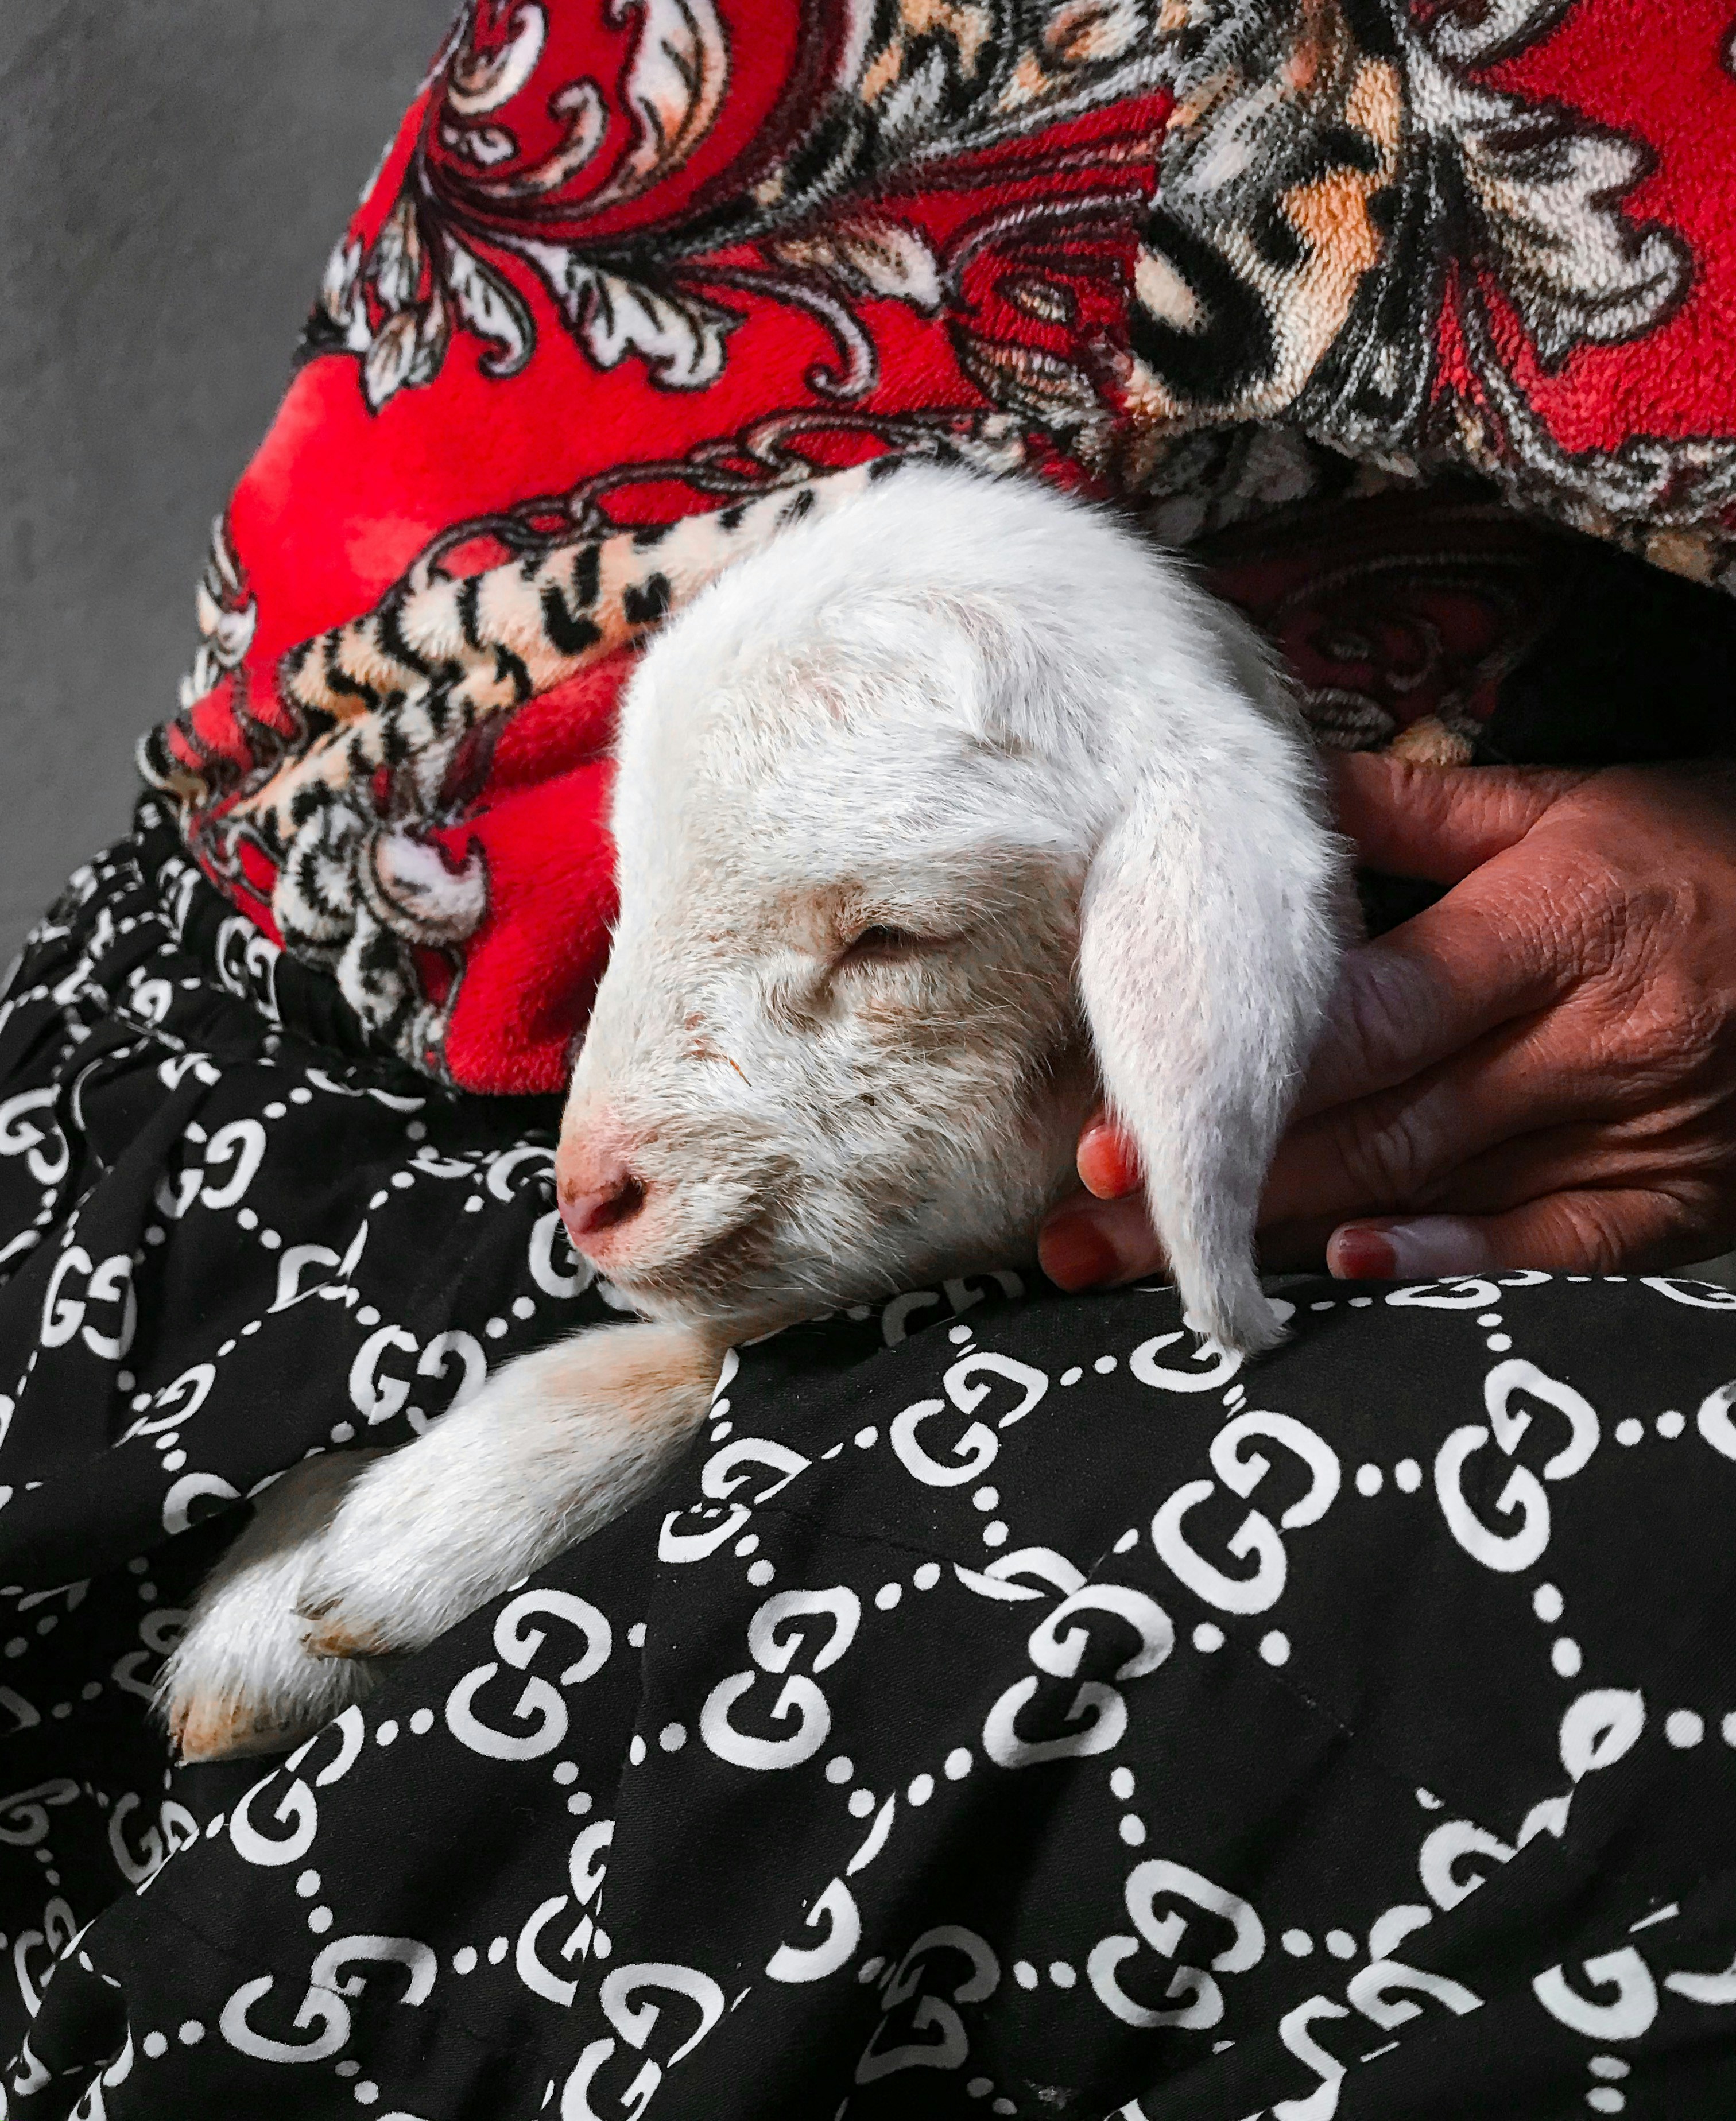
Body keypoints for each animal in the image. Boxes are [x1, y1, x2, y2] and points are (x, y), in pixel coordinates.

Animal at [160, 463, 1352, 1761]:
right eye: (628, 885)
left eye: (893, 935)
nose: (591, 1199)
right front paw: (283, 1578)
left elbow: (718, 1348)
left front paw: (419, 1527)